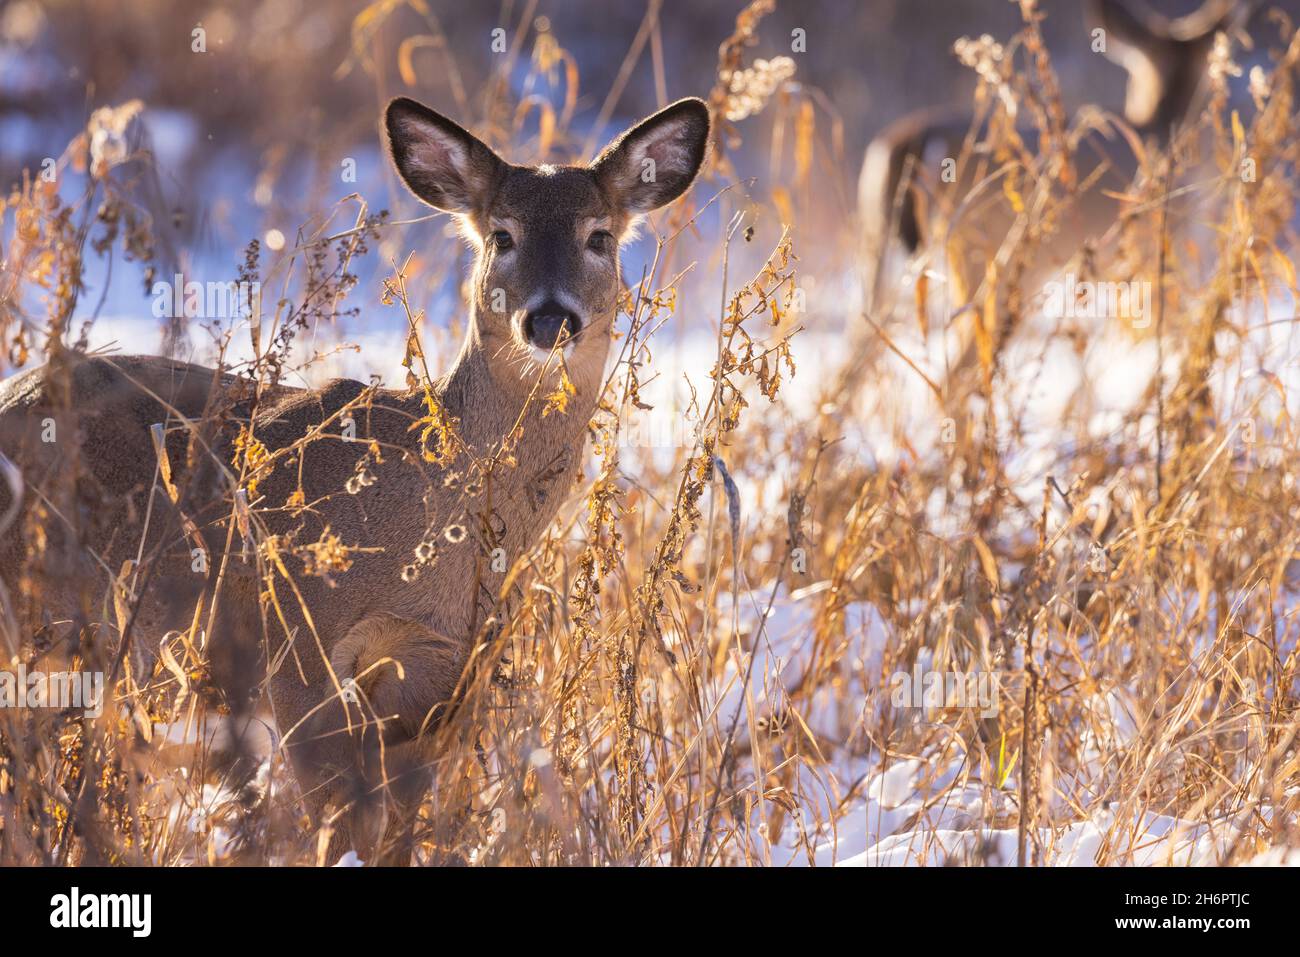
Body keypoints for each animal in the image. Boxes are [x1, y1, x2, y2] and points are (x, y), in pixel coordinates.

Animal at [0, 95, 711, 864]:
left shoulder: (441, 673)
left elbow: (394, 831)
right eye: (503, 235)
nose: (550, 318)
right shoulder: (296, 636)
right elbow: (336, 825)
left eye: (599, 236)